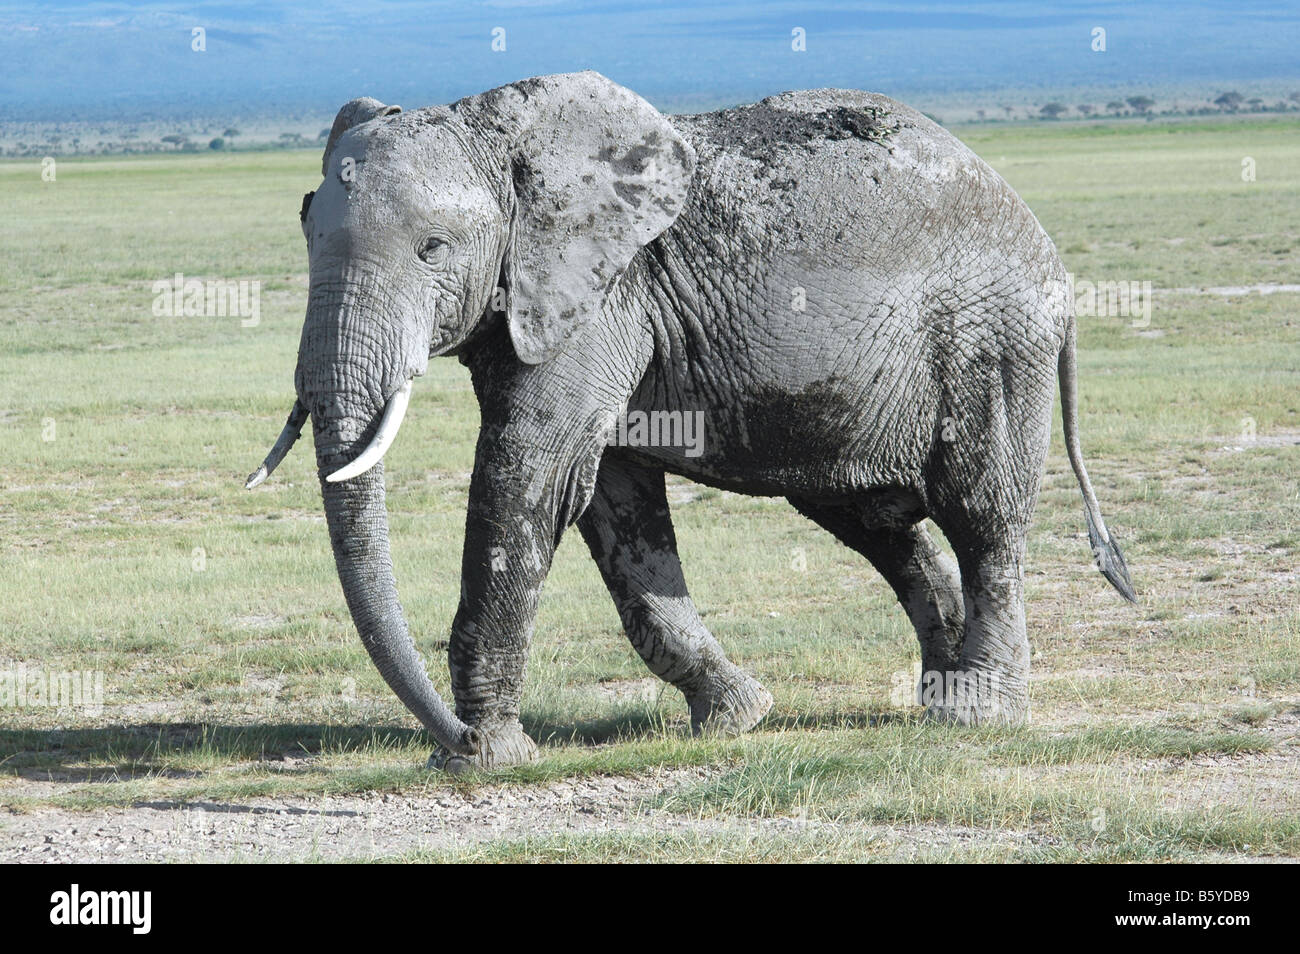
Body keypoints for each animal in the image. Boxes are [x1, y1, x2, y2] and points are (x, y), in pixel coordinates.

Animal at [246, 71, 1135, 772]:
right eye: (303, 225)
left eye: (433, 247)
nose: (450, 739)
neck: (499, 133)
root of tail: (1047, 250)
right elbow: (611, 500)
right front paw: (735, 720)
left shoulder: (602, 296)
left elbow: (529, 473)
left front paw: (488, 760)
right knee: (877, 522)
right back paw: (934, 695)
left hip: (990, 342)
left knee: (982, 514)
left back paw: (976, 713)